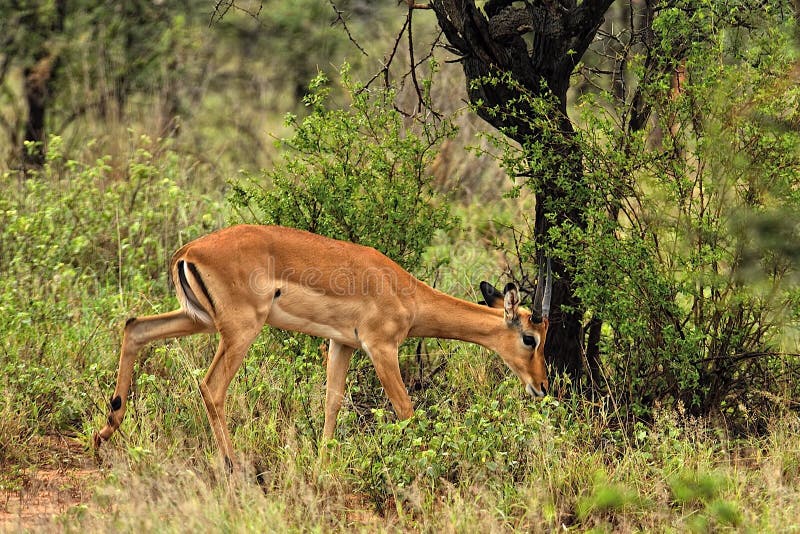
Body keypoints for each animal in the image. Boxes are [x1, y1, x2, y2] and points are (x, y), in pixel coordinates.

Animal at [94, 225, 552, 468]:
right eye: (530, 338)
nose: (543, 387)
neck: (407, 293)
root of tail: (188, 251)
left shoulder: (340, 343)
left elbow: (332, 400)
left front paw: (324, 461)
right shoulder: (381, 347)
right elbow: (405, 408)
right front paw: (429, 464)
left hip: (197, 319)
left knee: (134, 328)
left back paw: (104, 435)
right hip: (239, 330)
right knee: (211, 387)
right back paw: (234, 465)